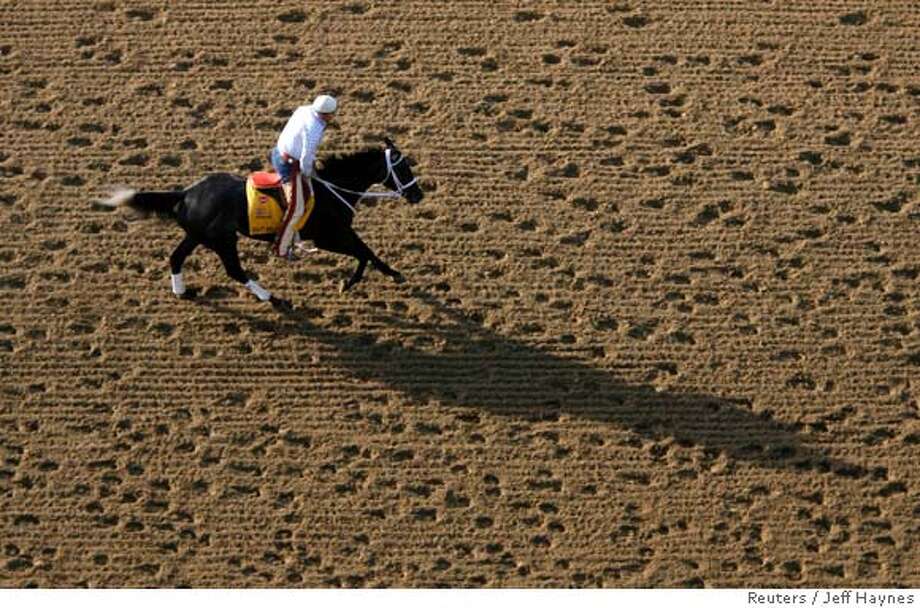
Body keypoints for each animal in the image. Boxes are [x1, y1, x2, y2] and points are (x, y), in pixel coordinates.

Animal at [99, 138, 424, 310]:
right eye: (403, 167)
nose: (418, 194)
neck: (332, 188)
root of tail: (187, 192)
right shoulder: (328, 237)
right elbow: (363, 253)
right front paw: (349, 283)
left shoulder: (339, 234)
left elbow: (367, 252)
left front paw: (393, 274)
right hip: (223, 239)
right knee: (234, 269)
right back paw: (273, 297)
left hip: (198, 235)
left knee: (176, 257)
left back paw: (182, 291)